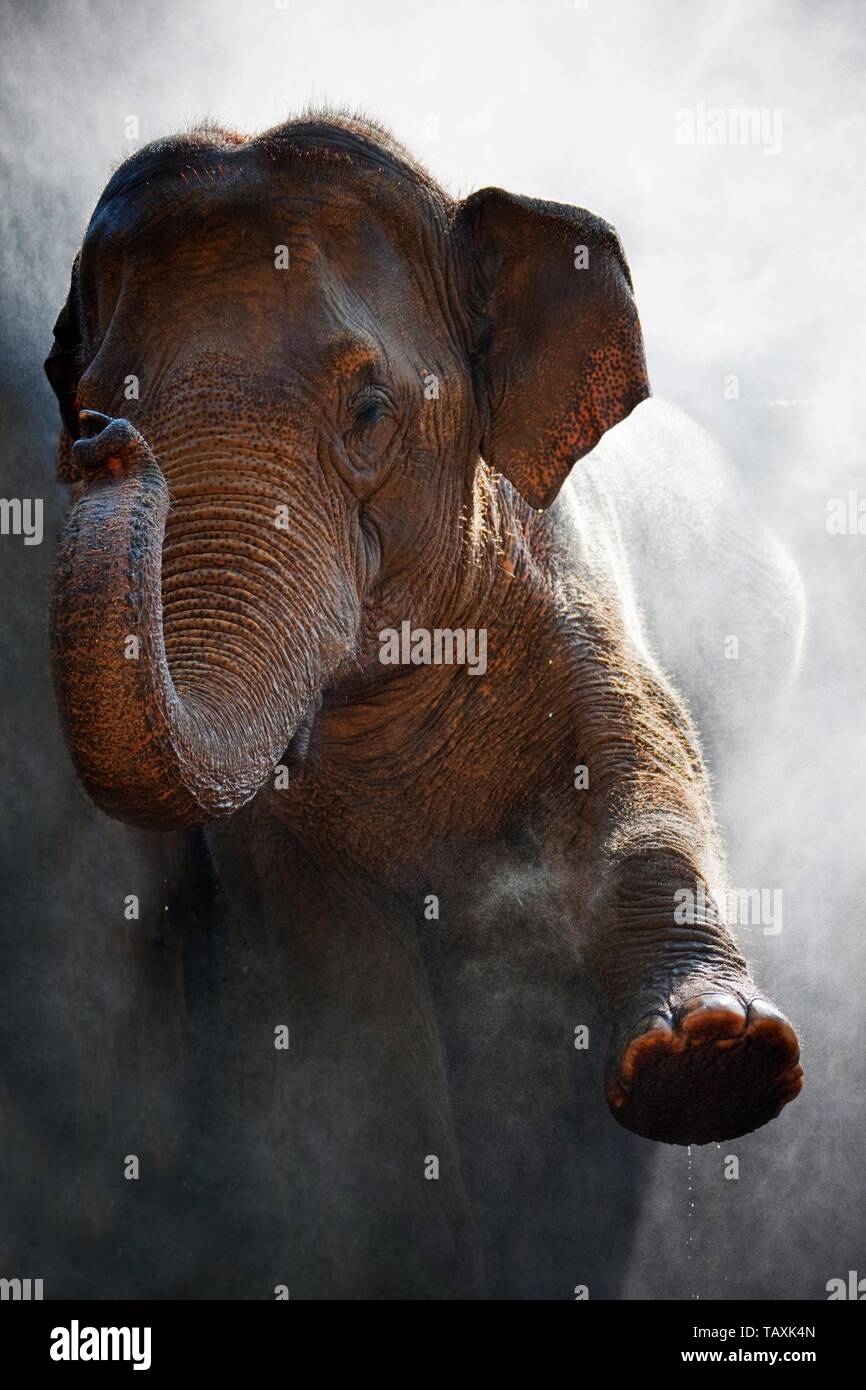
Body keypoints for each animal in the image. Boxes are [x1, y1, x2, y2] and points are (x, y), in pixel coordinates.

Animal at [45, 112, 803, 1299]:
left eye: (368, 410)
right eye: (85, 405)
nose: (104, 447)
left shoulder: (574, 593)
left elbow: (645, 765)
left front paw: (712, 1056)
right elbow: (337, 975)